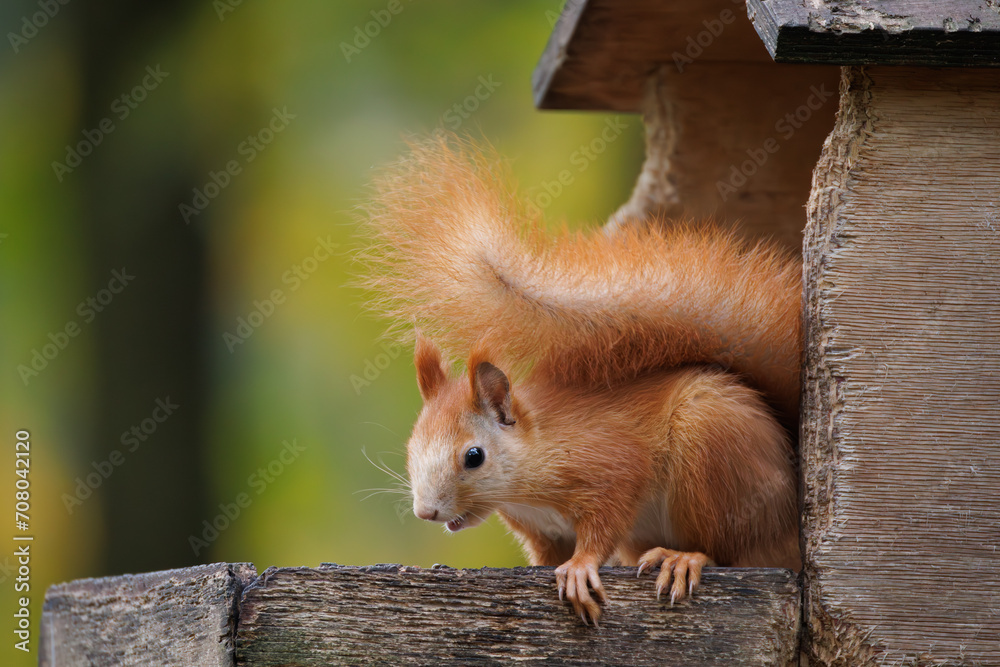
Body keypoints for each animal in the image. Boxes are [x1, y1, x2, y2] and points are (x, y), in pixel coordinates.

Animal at [360, 136, 802, 625]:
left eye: (474, 457)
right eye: (411, 447)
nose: (427, 511)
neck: (526, 477)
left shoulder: (608, 464)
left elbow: (604, 522)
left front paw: (580, 568)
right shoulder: (541, 531)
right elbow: (545, 556)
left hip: (715, 456)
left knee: (733, 551)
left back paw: (684, 558)